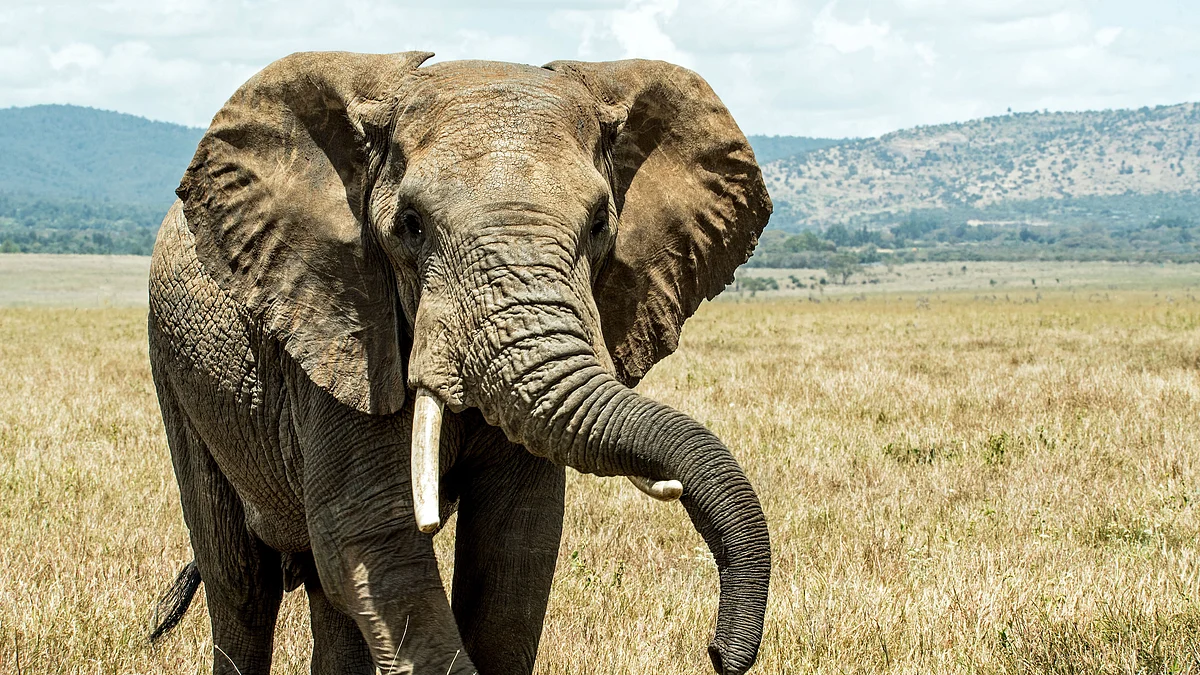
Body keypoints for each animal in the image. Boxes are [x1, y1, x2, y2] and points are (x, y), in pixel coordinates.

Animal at [146, 50, 772, 675]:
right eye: (411, 225)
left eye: (600, 224)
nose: (718, 653)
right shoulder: (340, 332)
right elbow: (372, 538)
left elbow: (515, 548)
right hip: (177, 373)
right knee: (242, 583)